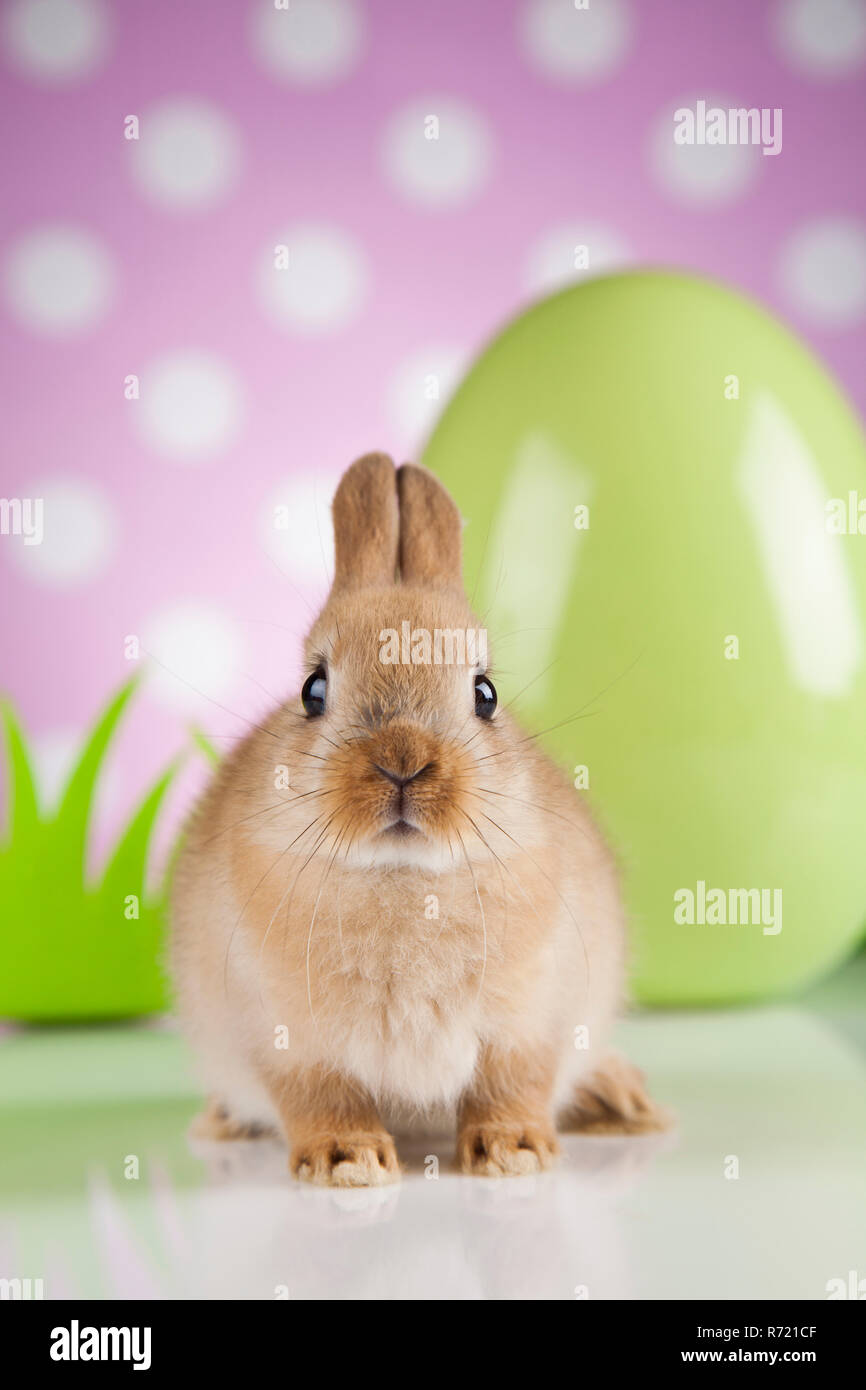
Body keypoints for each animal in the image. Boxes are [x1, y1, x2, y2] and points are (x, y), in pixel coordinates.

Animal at [171, 453, 667, 1187]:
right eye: (313, 690)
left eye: (485, 694)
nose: (402, 761)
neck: (406, 880)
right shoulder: (288, 1044)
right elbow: (322, 1100)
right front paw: (348, 1161)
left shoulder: (530, 1025)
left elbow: (512, 1087)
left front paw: (517, 1152)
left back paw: (621, 1098)